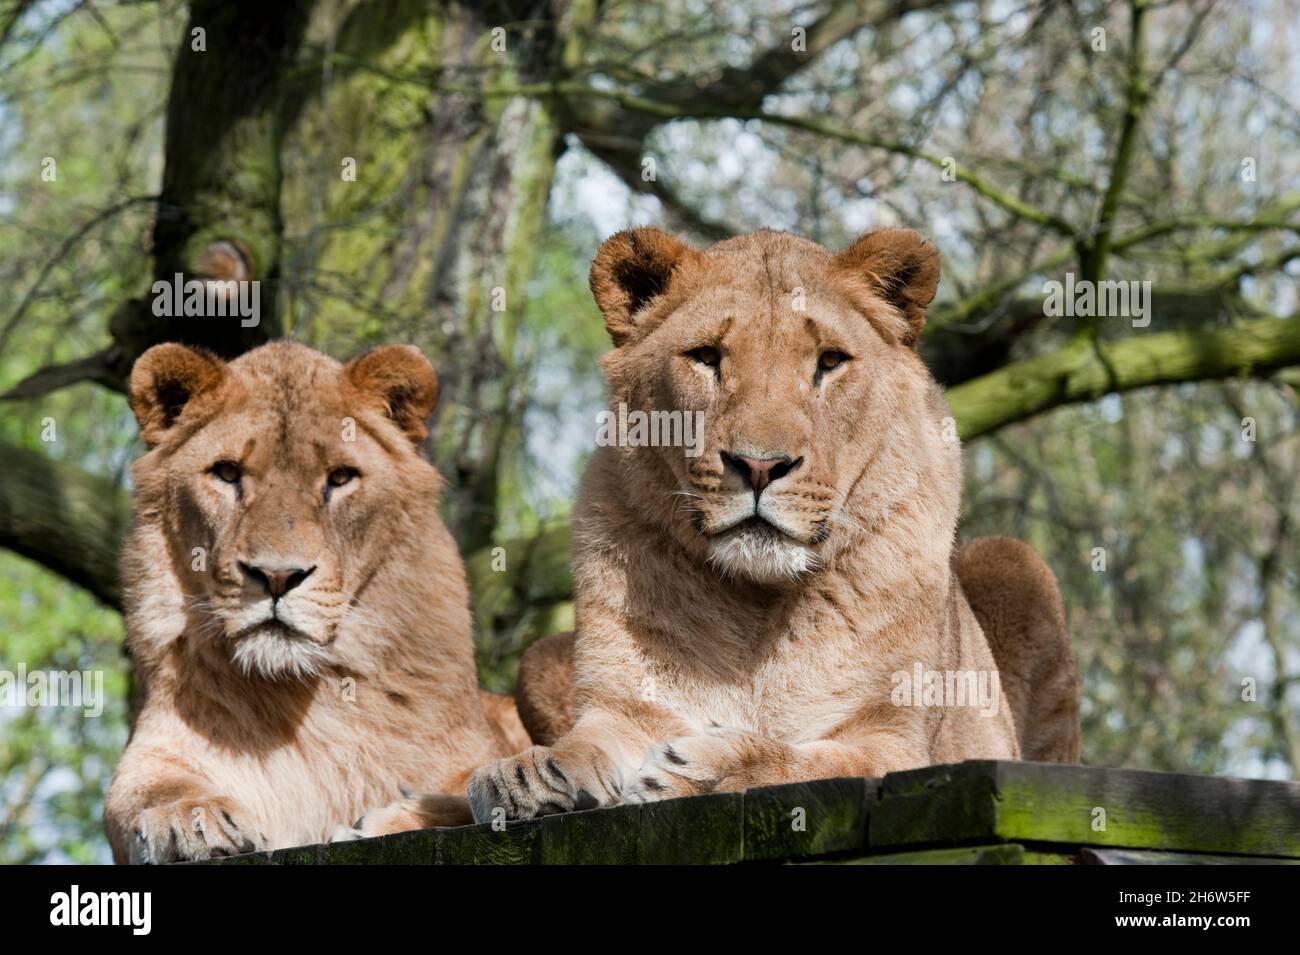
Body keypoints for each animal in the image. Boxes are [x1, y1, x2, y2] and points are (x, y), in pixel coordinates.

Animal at [104, 340, 528, 863]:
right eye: (227, 473)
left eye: (341, 478)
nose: (277, 576)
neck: (304, 697)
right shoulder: (153, 751)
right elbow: (142, 792)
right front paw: (191, 818)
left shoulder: (474, 756)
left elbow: (483, 788)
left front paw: (384, 821)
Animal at [470, 226, 1080, 821]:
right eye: (706, 356)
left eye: (829, 362)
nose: (760, 465)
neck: (757, 604)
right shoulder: (626, 706)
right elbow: (585, 742)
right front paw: (526, 777)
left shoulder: (900, 746)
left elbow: (806, 762)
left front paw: (702, 768)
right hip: (537, 660)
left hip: (1013, 562)